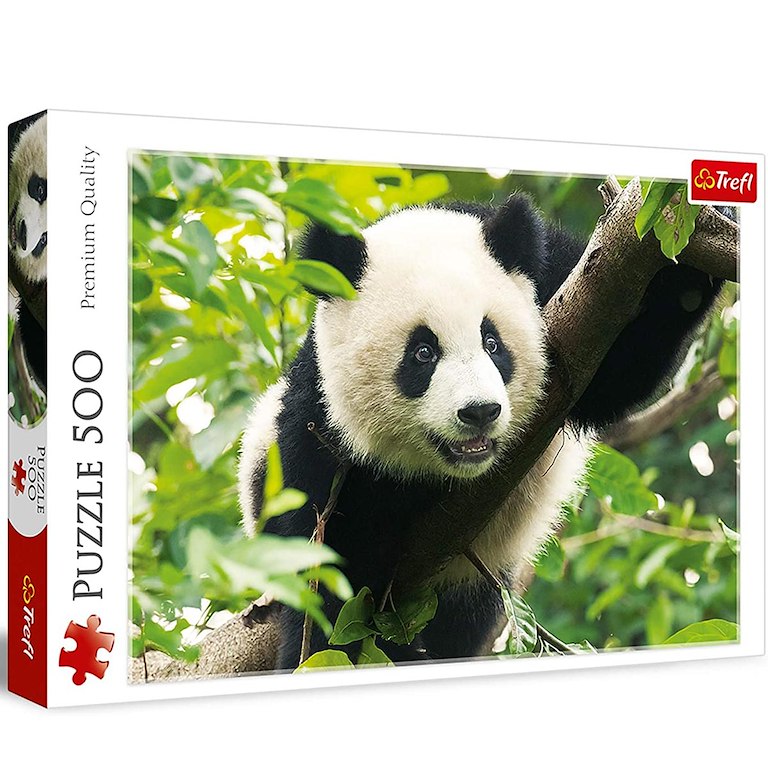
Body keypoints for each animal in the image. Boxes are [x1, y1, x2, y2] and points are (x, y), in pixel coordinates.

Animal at [238, 193, 722, 669]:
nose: (479, 412)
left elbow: (620, 366)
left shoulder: (560, 282)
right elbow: (328, 565)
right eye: (423, 353)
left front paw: (691, 240)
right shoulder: (319, 426)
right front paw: (316, 650)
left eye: (492, 343)